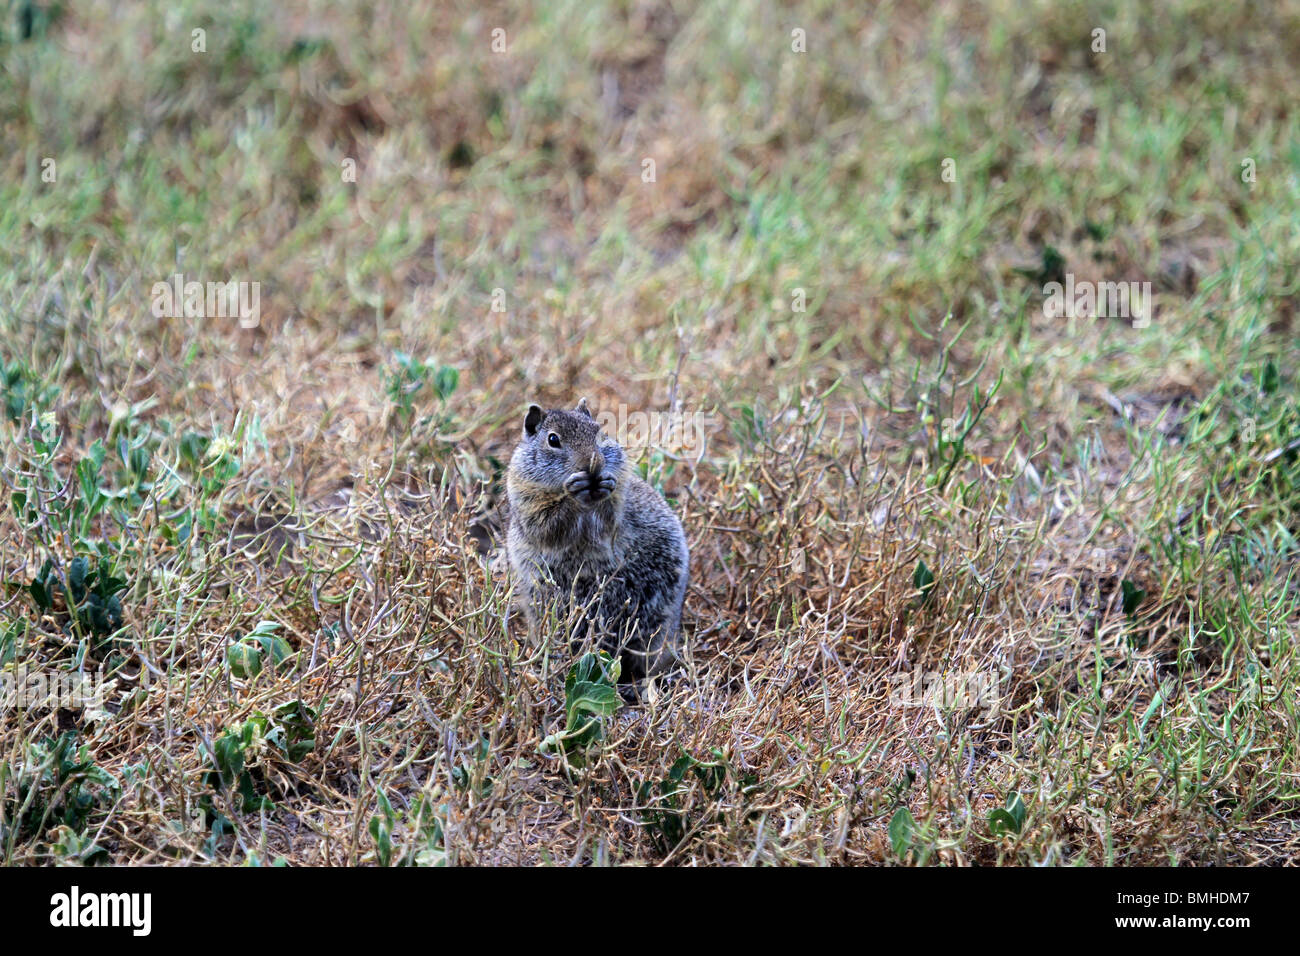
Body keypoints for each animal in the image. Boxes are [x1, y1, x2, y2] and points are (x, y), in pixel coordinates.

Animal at [505, 398, 689, 681]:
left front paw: (603, 485)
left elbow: (609, 520)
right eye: (553, 439)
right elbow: (549, 526)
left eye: (598, 432)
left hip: (660, 617)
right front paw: (574, 492)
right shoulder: (529, 503)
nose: (594, 465)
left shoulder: (616, 504)